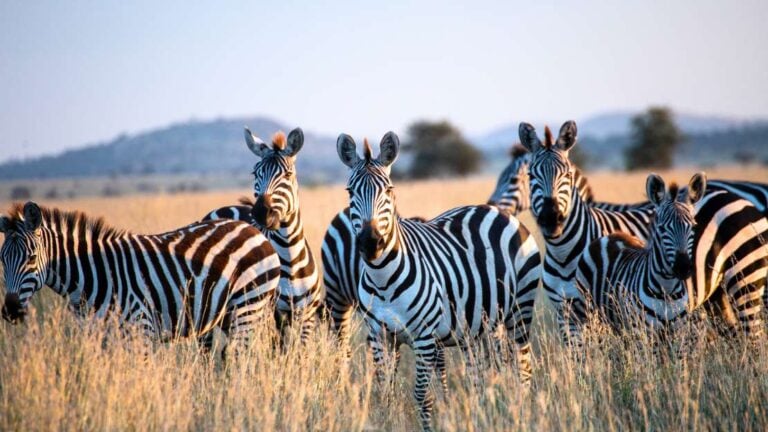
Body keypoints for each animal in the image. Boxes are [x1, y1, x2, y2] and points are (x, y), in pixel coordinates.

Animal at [0, 201, 281, 356]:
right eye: (2, 260)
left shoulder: (140, 329)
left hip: (248, 306)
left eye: (32, 257)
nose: (10, 311)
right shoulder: (95, 337)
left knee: (244, 357)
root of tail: (252, 229)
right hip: (228, 314)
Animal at [202, 127, 323, 345]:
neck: (290, 258)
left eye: (288, 174)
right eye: (255, 173)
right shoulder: (271, 315)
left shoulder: (307, 316)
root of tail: (223, 208)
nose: (260, 212)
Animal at [336, 131, 541, 431]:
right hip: (482, 326)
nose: (371, 243)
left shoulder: (424, 337)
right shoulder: (378, 336)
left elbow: (422, 395)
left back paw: (522, 414)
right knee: (483, 375)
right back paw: (485, 414)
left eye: (389, 191)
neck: (382, 279)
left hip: (519, 311)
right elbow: (385, 393)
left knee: (523, 368)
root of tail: (498, 211)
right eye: (350, 192)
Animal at [573, 173, 704, 347]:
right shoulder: (644, 335)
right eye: (661, 228)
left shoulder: (678, 334)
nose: (683, 267)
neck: (667, 290)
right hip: (586, 312)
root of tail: (610, 236)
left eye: (694, 227)